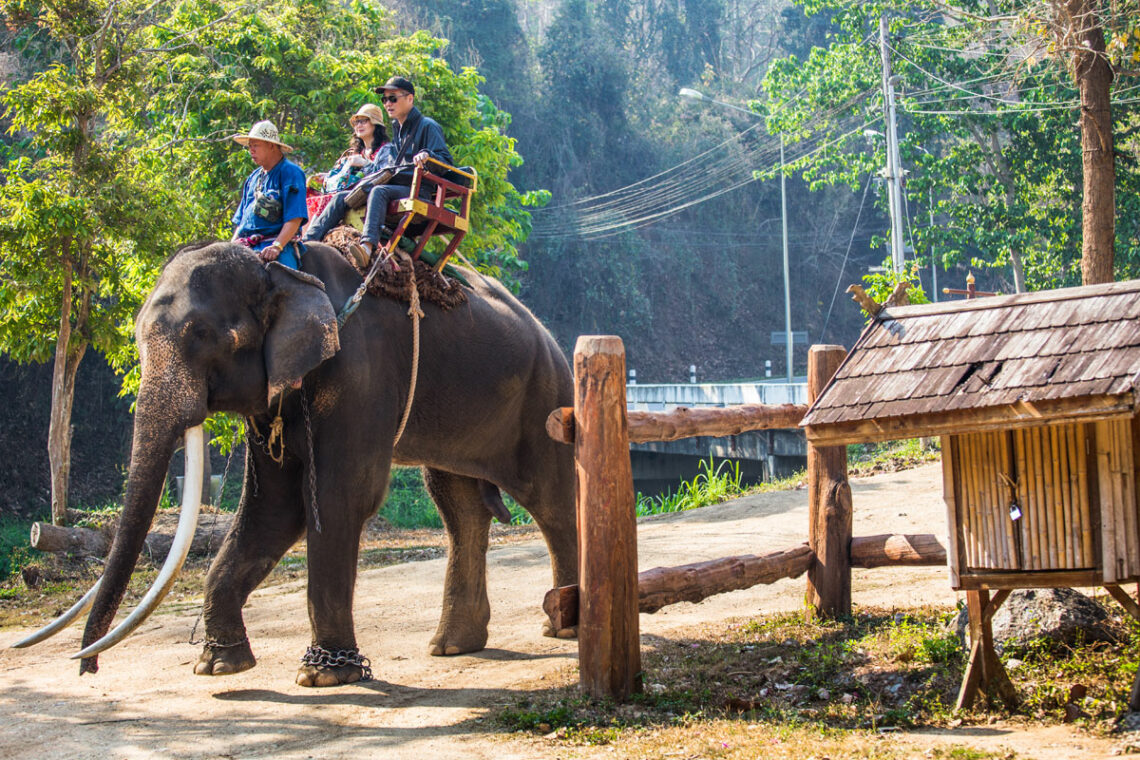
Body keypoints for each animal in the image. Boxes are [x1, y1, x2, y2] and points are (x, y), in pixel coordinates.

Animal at [16, 241, 578, 687]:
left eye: (206, 335)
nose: (86, 669)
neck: (285, 270)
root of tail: (549, 336)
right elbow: (275, 508)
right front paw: (219, 667)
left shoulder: (359, 371)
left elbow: (338, 496)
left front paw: (324, 675)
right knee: (459, 505)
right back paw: (452, 646)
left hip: (547, 396)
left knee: (551, 501)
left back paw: (562, 626)